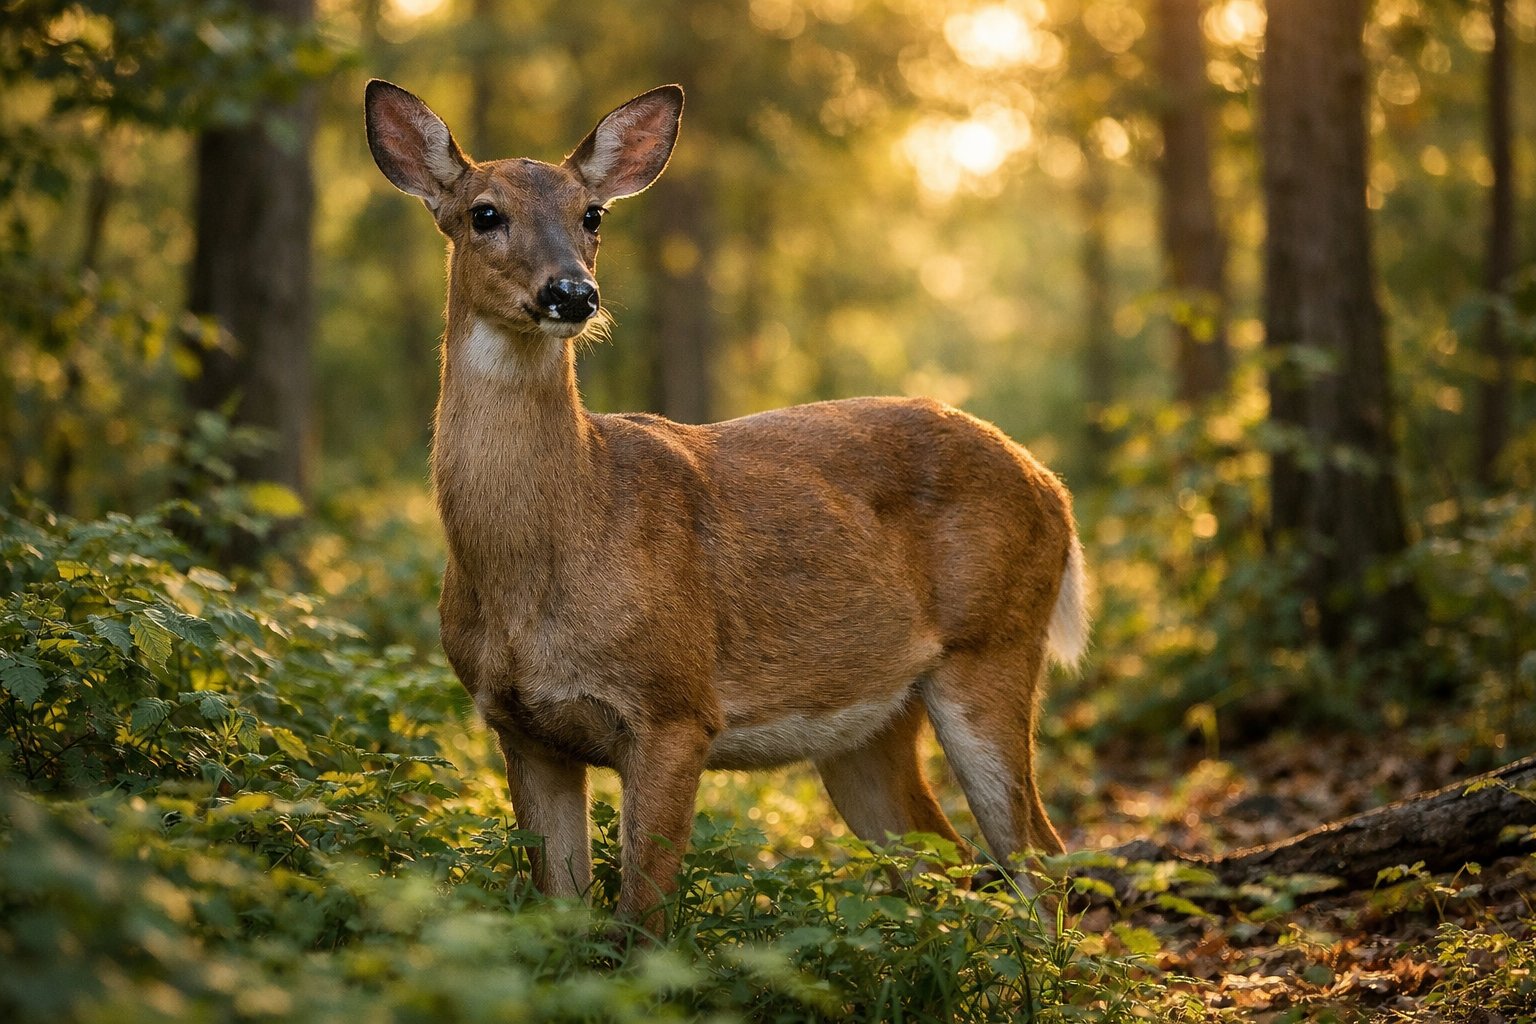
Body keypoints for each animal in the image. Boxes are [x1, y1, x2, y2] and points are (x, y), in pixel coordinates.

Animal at [363, 78, 1090, 937]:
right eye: (483, 213)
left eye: (593, 214)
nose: (572, 292)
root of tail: (1053, 488)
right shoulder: (521, 728)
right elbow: (564, 907)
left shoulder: (677, 708)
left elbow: (642, 920)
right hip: (871, 718)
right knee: (940, 852)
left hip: (995, 644)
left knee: (1038, 852)